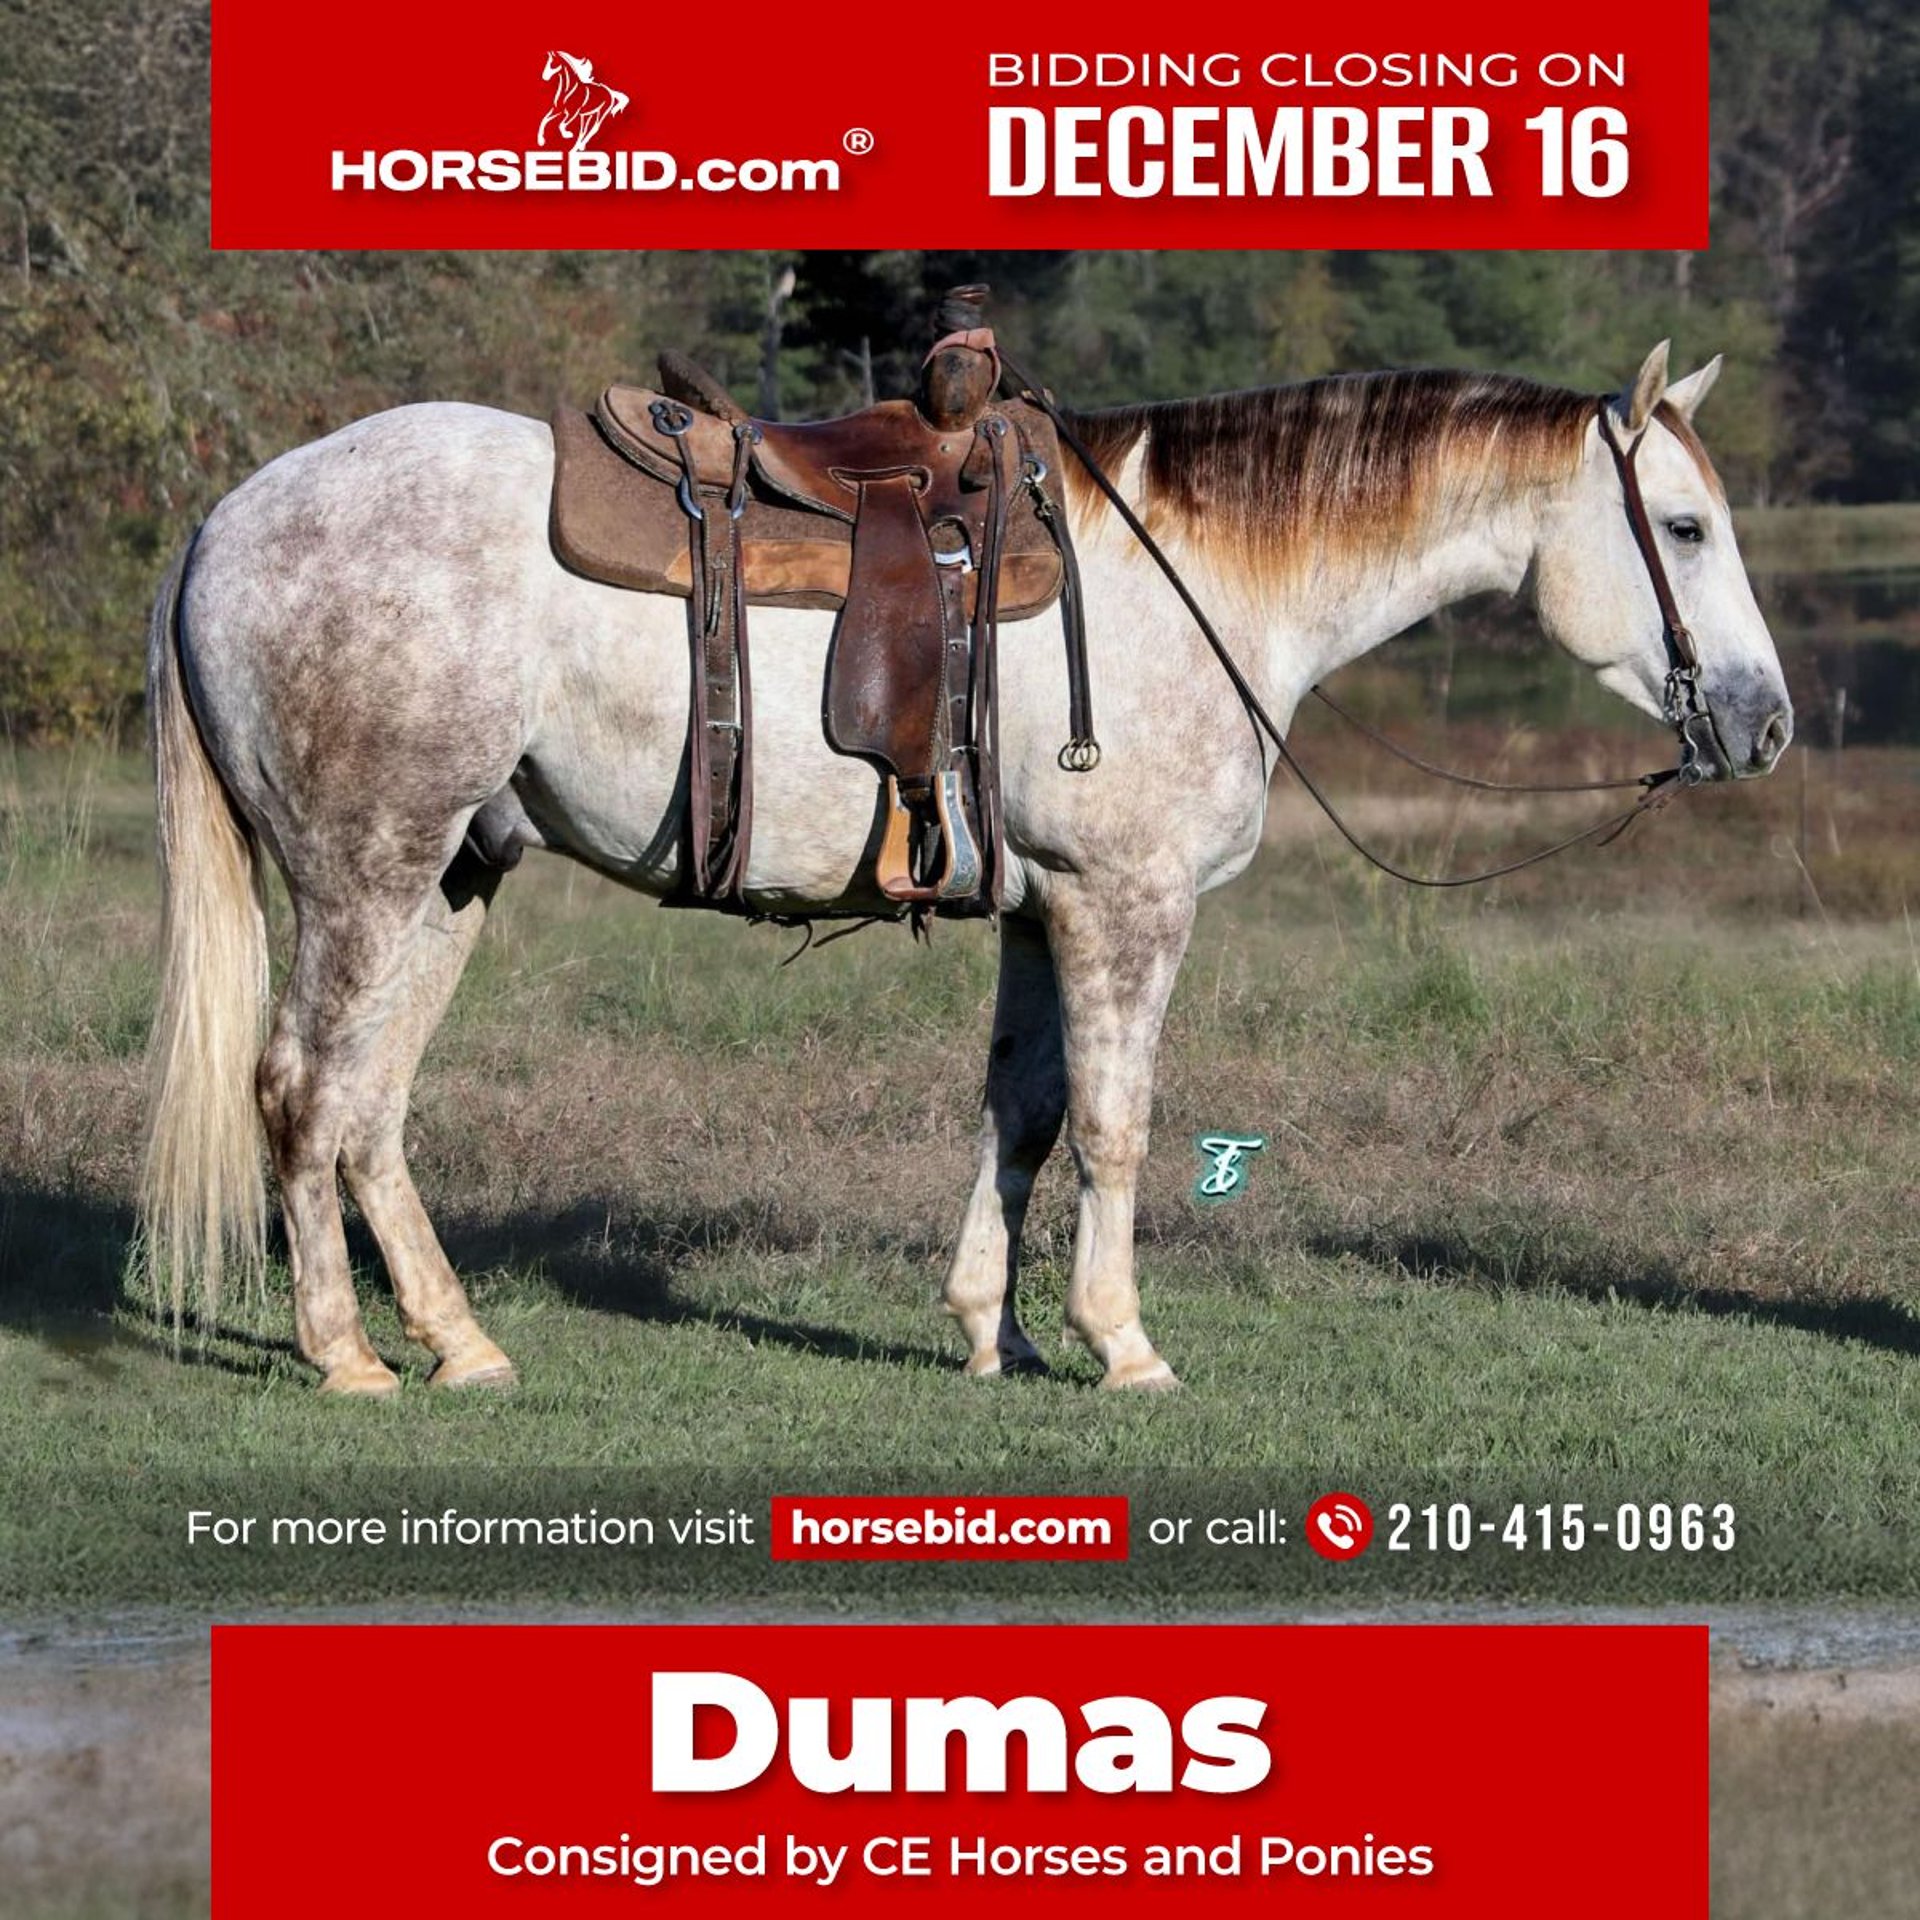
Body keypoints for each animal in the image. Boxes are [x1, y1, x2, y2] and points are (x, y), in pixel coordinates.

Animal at [137, 342, 1792, 1397]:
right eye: (1687, 525)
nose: (1766, 722)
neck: (1207, 583)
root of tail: (226, 519)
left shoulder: (1040, 912)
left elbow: (1025, 1113)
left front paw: (998, 1334)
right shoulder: (1127, 908)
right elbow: (1117, 1126)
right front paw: (1123, 1345)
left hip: (451, 878)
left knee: (370, 1108)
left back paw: (459, 1345)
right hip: (364, 874)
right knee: (301, 1091)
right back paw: (347, 1358)